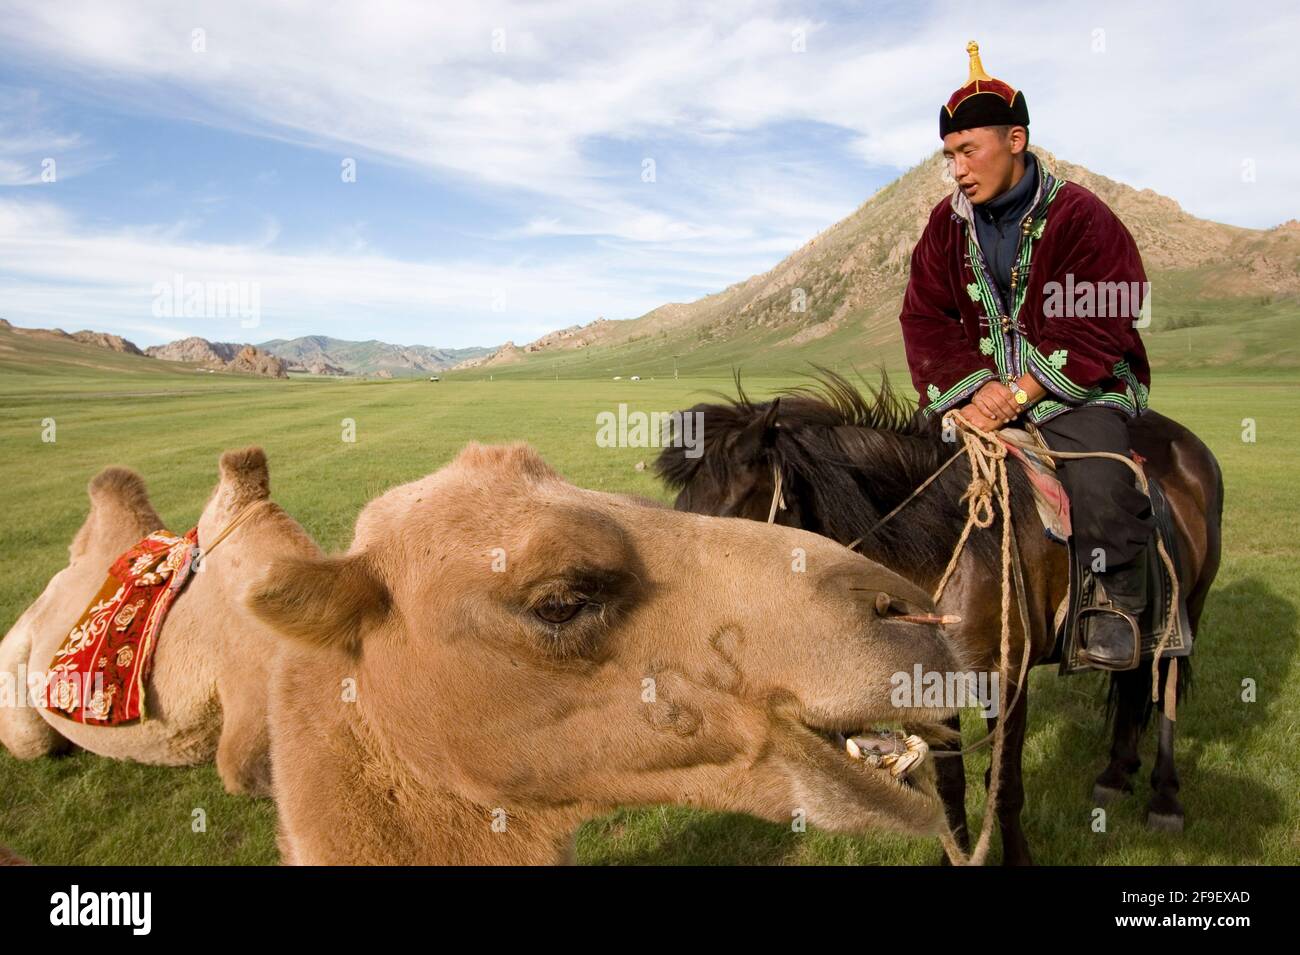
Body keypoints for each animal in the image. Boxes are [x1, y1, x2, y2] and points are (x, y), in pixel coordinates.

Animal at [654, 370, 1223, 864]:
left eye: (727, 530)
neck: (939, 543)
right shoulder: (925, 679)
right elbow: (950, 789)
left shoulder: (1006, 678)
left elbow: (1004, 787)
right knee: (1134, 682)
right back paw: (1116, 774)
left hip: (1189, 606)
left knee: (1167, 688)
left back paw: (1165, 799)